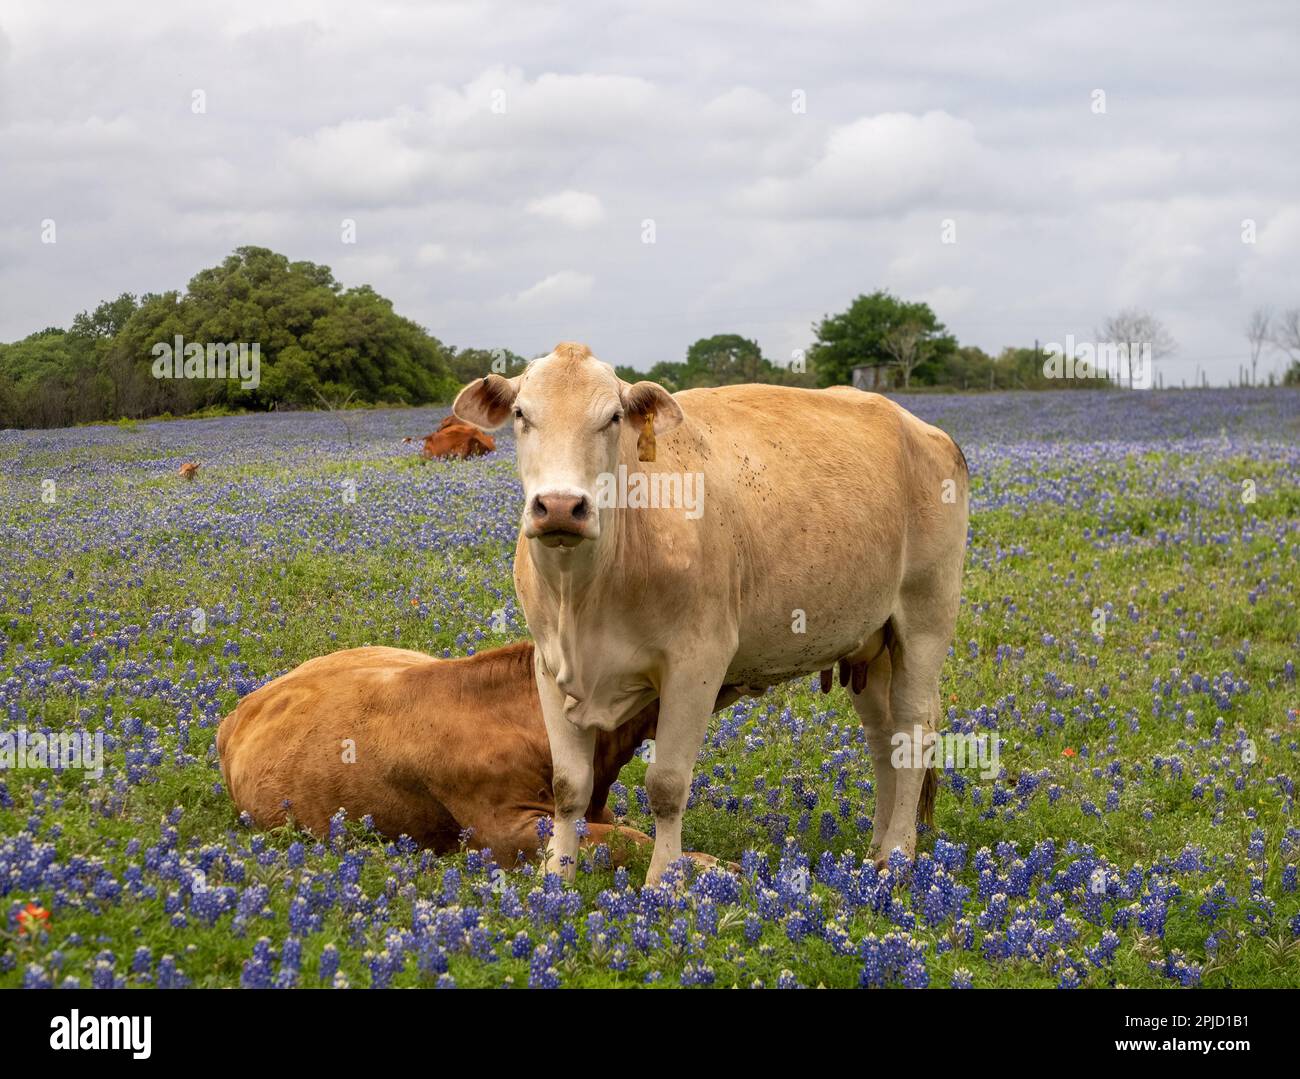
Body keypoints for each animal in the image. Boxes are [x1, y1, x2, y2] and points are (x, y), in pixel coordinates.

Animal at [453, 341, 969, 885]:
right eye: (520, 414)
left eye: (612, 417)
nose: (558, 506)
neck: (586, 589)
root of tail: (925, 430)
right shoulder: (549, 666)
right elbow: (569, 785)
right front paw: (557, 877)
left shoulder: (697, 662)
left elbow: (666, 784)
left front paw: (663, 882)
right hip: (872, 644)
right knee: (883, 741)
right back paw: (874, 850)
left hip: (924, 622)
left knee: (912, 734)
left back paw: (897, 854)